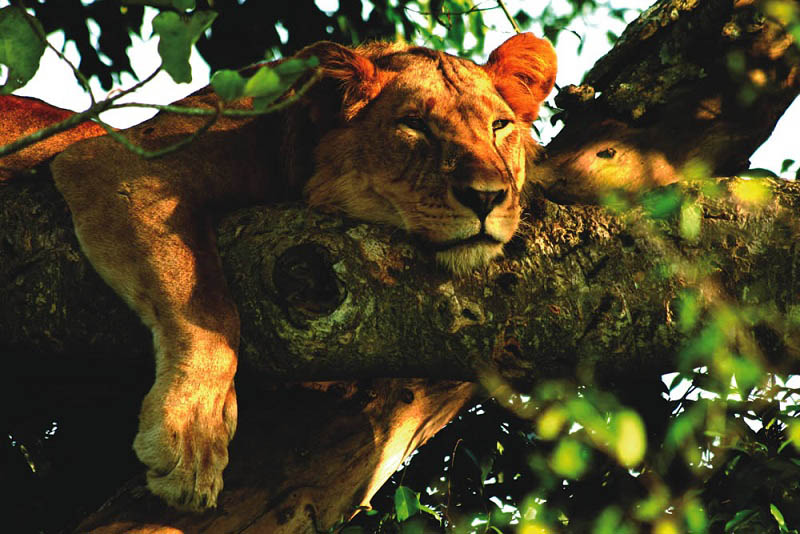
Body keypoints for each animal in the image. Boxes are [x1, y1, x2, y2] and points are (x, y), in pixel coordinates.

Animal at [38, 33, 556, 511]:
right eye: (414, 126)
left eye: (500, 126)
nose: (486, 197)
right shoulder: (115, 166)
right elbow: (207, 308)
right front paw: (192, 436)